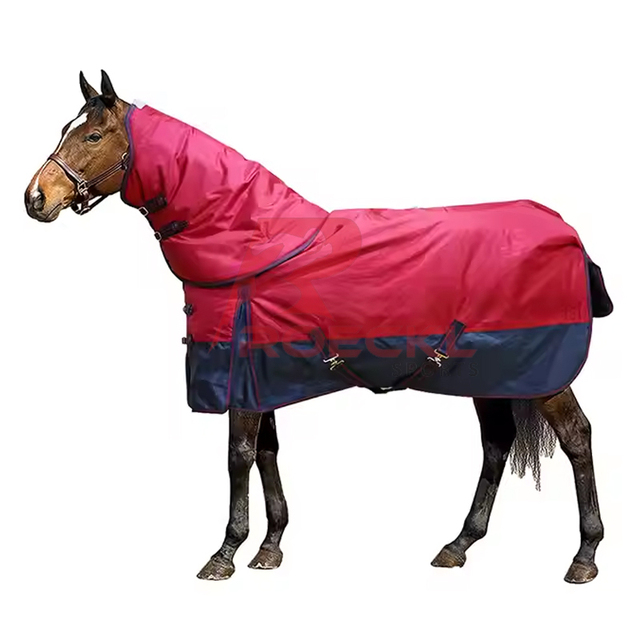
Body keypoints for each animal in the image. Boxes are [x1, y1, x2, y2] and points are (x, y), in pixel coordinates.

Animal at [24, 70, 612, 584]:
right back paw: (458, 545)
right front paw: (269, 548)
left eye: (93, 134)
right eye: (64, 130)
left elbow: (238, 458)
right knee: (496, 443)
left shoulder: (239, 374)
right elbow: (266, 453)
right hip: (489, 373)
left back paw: (584, 556)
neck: (252, 243)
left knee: (576, 439)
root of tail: (565, 230)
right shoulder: (261, 376)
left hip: (544, 376)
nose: (35, 198)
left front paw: (224, 554)